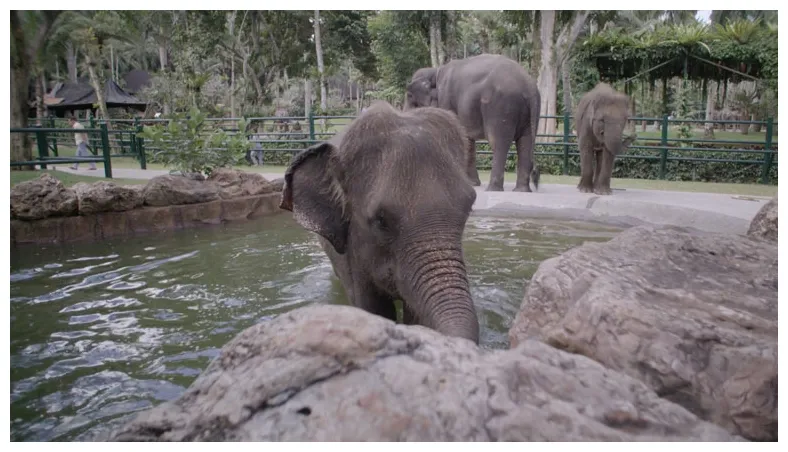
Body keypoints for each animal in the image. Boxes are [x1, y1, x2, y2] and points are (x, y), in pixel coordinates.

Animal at [405, 53, 541, 193]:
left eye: (410, 96)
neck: (435, 71)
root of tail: (529, 86)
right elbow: (467, 140)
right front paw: (473, 184)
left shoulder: (446, 101)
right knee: (525, 143)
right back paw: (521, 190)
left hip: (501, 108)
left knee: (498, 143)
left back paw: (493, 189)